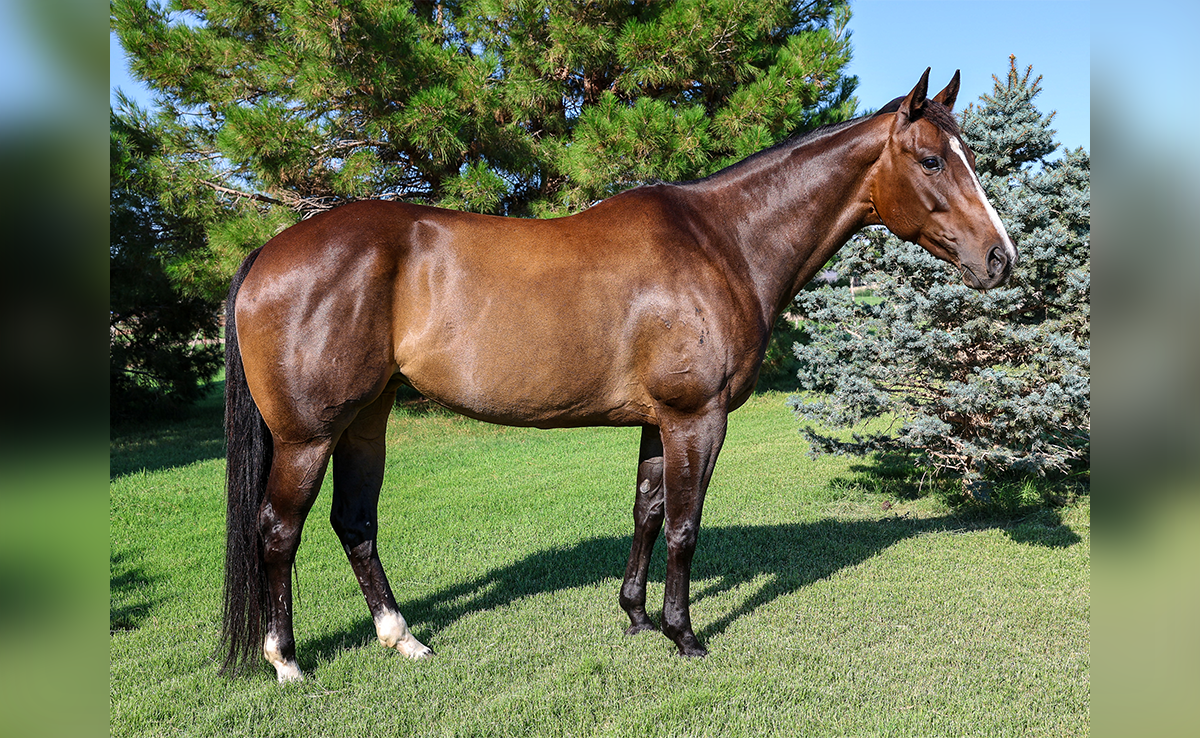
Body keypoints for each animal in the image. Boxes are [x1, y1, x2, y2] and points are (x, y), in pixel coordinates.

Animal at [220, 68, 1016, 681]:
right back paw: (286, 660)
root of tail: (269, 253)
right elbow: (686, 527)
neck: (724, 241)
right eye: (932, 160)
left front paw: (635, 616)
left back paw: (402, 638)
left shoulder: (659, 422)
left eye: (969, 155)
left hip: (366, 419)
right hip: (308, 436)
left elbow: (647, 512)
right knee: (278, 530)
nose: (1001, 258)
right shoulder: (697, 417)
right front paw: (683, 633)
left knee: (354, 523)